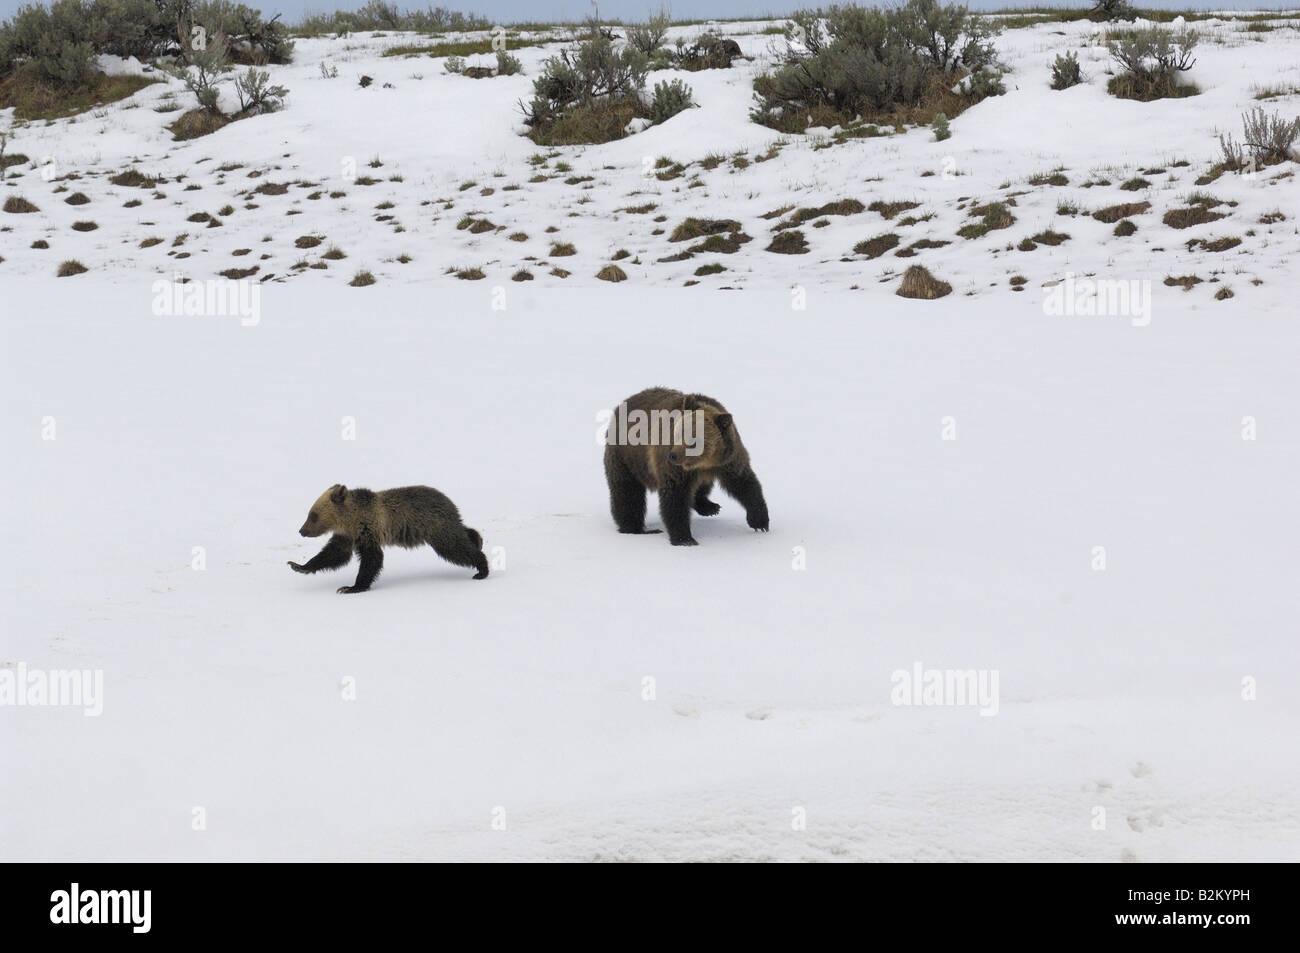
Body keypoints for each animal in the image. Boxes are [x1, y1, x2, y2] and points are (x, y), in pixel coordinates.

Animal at [289, 484, 488, 593]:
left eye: (313, 515)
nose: (301, 531)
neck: (350, 519)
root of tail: (450, 502)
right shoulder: (347, 536)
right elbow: (333, 554)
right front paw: (298, 566)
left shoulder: (368, 530)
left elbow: (372, 559)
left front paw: (351, 587)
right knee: (462, 533)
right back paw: (478, 539)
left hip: (435, 526)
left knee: (455, 547)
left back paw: (482, 569)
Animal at [603, 387, 769, 546]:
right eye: (678, 434)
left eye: (693, 441)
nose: (673, 456)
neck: (706, 462)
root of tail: (622, 404)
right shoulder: (674, 468)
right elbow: (675, 497)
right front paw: (685, 539)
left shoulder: (728, 460)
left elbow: (744, 483)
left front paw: (760, 522)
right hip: (626, 458)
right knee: (628, 494)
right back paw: (635, 528)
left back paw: (709, 507)